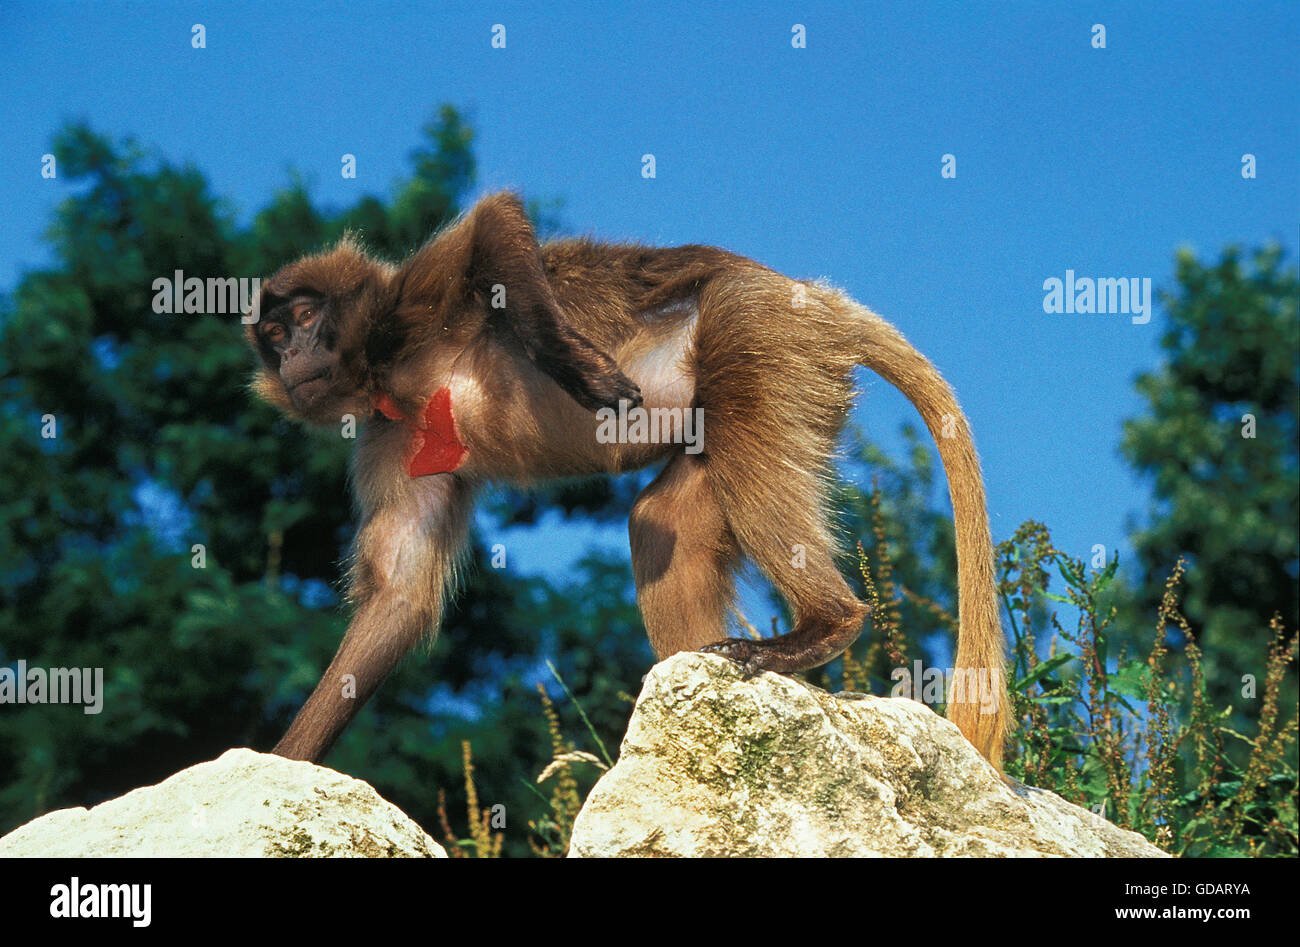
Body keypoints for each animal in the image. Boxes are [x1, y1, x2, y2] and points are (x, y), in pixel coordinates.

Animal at [245, 192, 1009, 771]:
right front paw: (283, 760)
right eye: (276, 335)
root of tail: (811, 298)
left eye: (306, 318)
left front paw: (568, 356)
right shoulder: (388, 439)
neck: (384, 375)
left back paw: (828, 625)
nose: (294, 357)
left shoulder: (411, 301)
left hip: (765, 333)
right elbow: (398, 597)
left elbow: (495, 220)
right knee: (662, 519)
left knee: (740, 422)